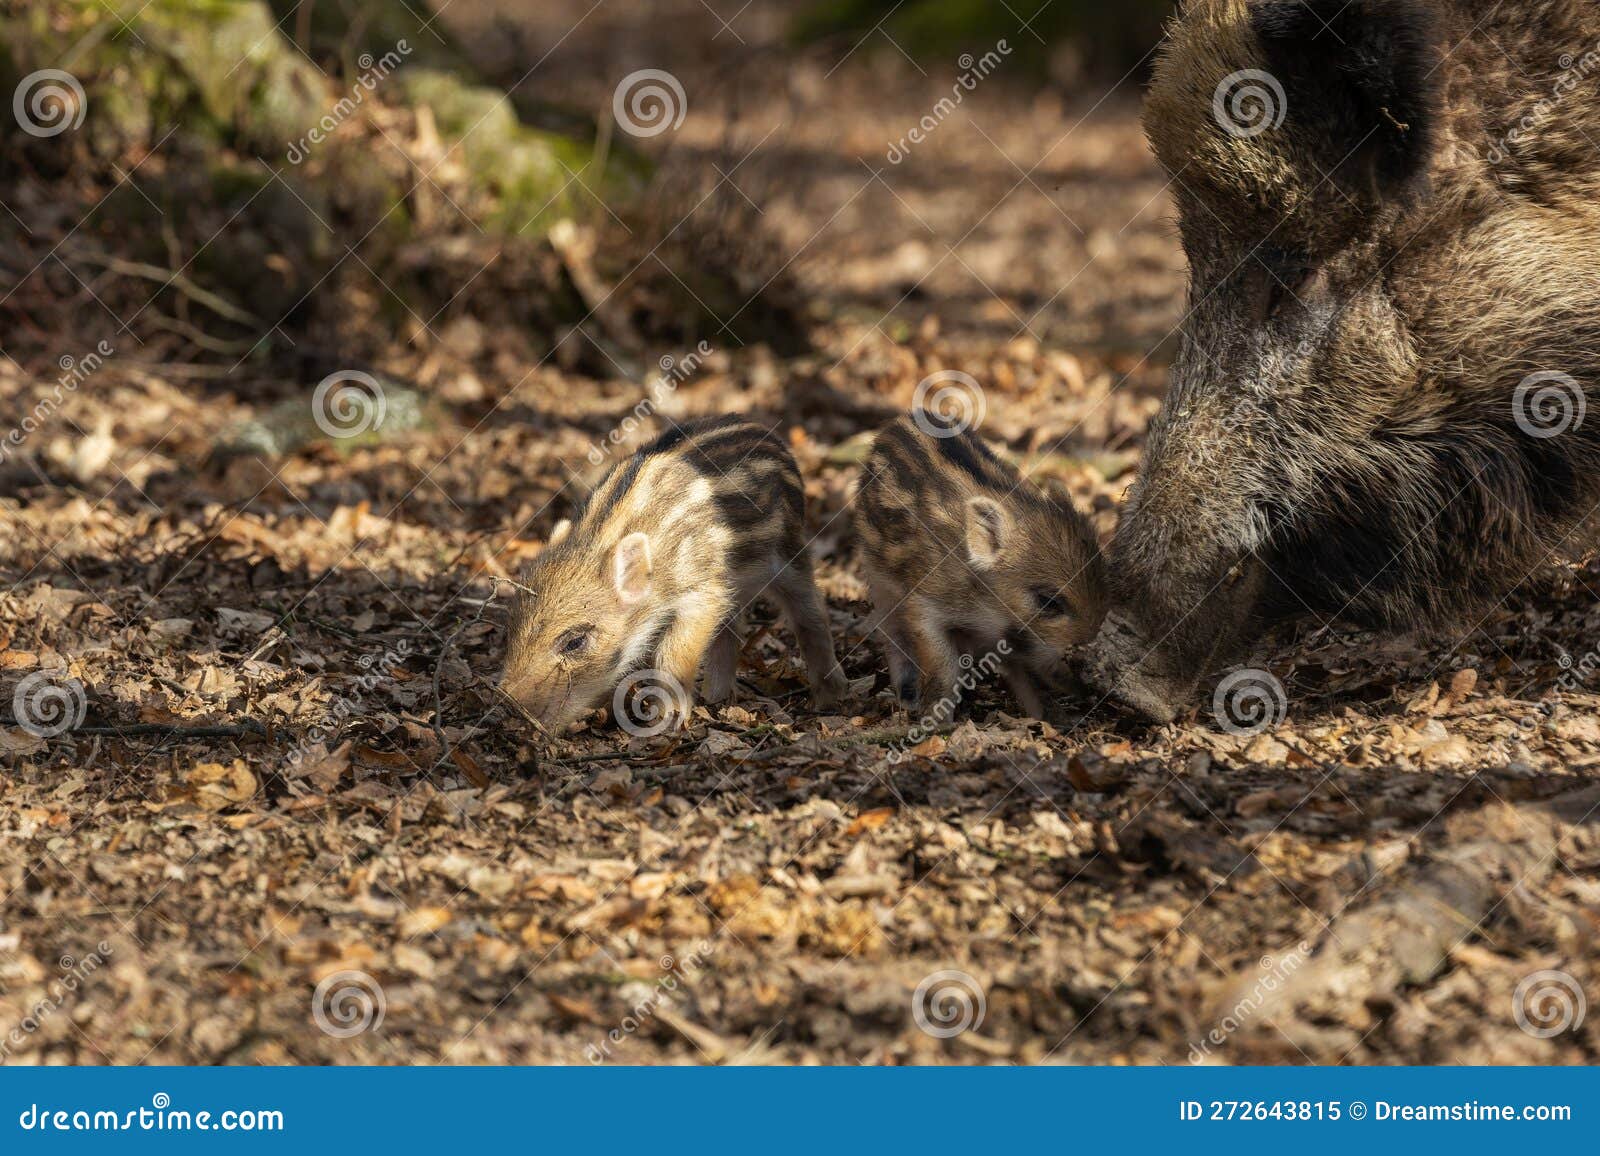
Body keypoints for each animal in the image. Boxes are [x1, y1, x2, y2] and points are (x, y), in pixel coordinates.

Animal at [500, 415, 848, 732]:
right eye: (512, 625)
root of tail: (769, 434)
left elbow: (672, 654)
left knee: (811, 613)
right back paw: (716, 700)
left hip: (791, 554)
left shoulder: (703, 592)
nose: (511, 705)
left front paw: (667, 717)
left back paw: (831, 697)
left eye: (575, 642)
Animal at [855, 412, 1106, 718]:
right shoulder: (924, 603)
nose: (1088, 683)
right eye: (1048, 601)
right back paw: (908, 694)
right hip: (877, 580)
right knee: (891, 633)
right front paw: (937, 719)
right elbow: (943, 665)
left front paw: (1046, 718)